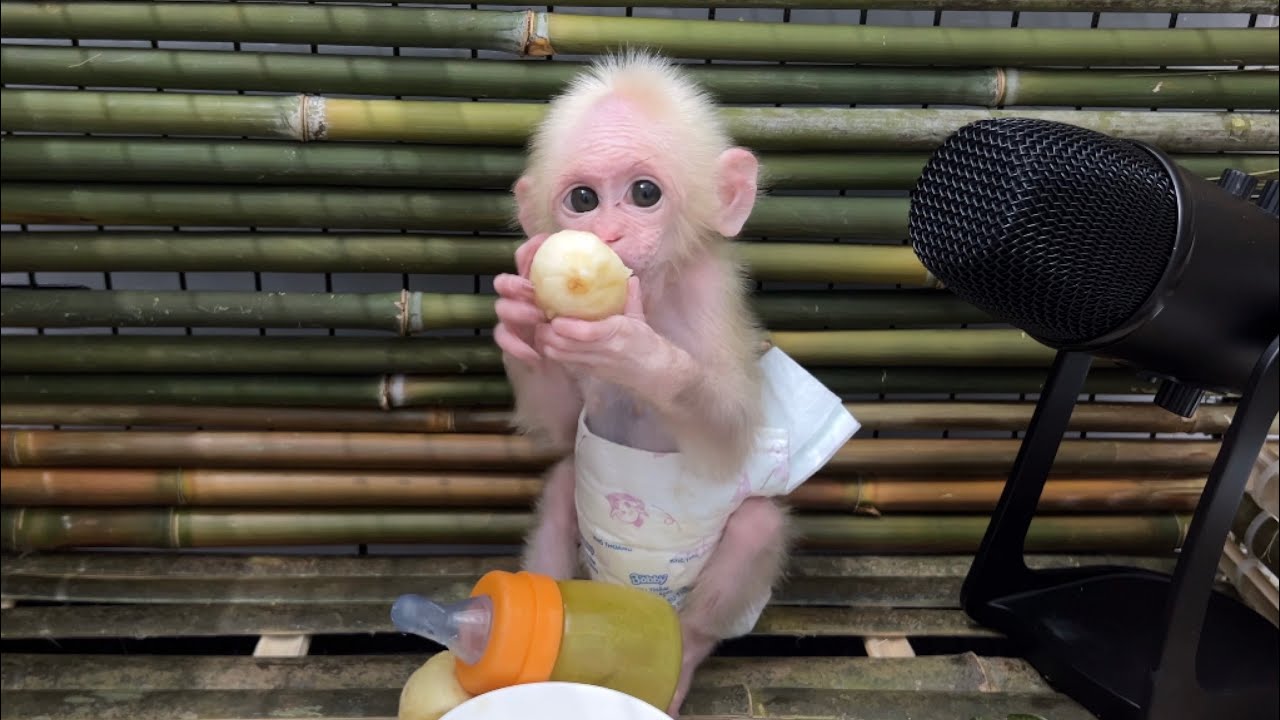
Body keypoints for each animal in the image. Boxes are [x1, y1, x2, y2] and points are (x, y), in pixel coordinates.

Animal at [492, 50, 859, 716]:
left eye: (644, 194)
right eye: (583, 199)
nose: (609, 235)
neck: (656, 293)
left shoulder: (708, 294)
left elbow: (731, 435)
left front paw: (640, 356)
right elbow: (559, 426)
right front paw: (522, 327)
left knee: (755, 530)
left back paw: (682, 656)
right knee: (561, 487)